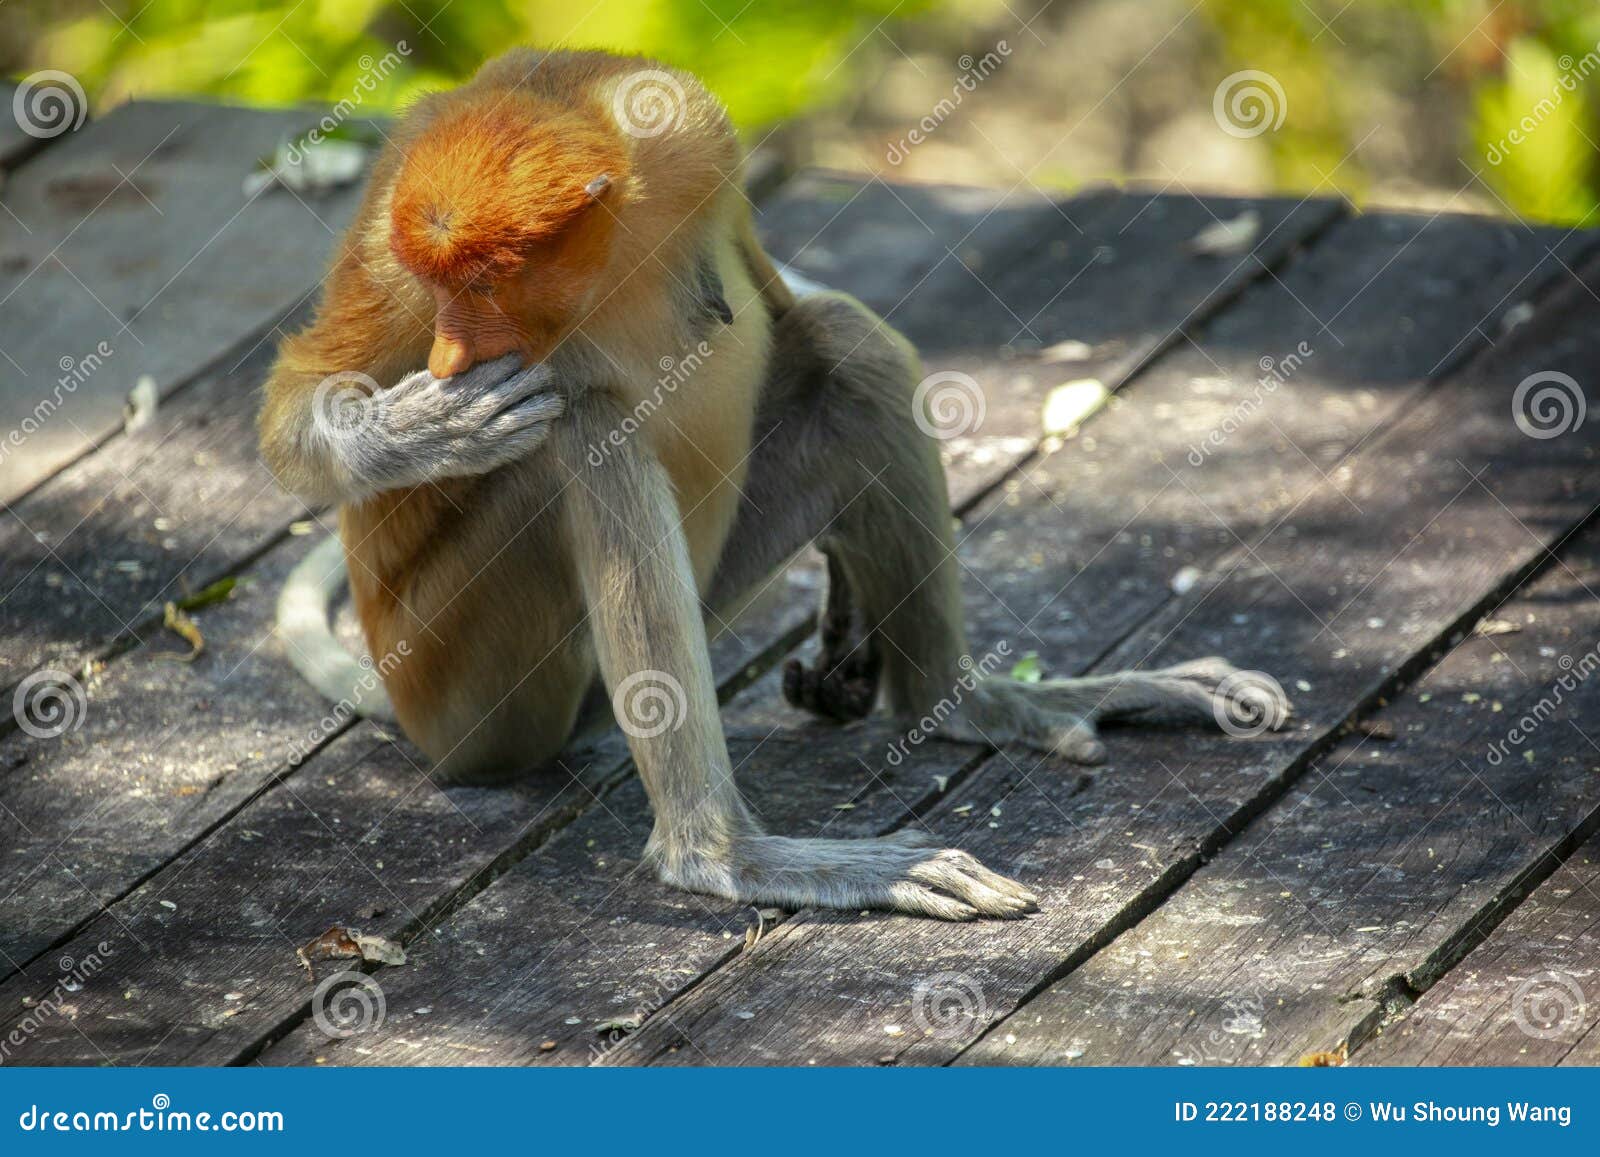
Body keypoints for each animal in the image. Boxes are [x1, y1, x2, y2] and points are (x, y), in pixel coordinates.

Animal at [259, 48, 1290, 921]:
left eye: (484, 286)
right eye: (440, 289)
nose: (445, 358)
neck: (606, 251)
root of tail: (415, 707)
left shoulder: (694, 134)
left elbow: (784, 301)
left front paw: (847, 608)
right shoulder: (390, 242)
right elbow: (295, 406)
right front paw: (421, 429)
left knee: (846, 351)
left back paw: (970, 702)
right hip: (468, 679)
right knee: (587, 435)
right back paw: (725, 856)